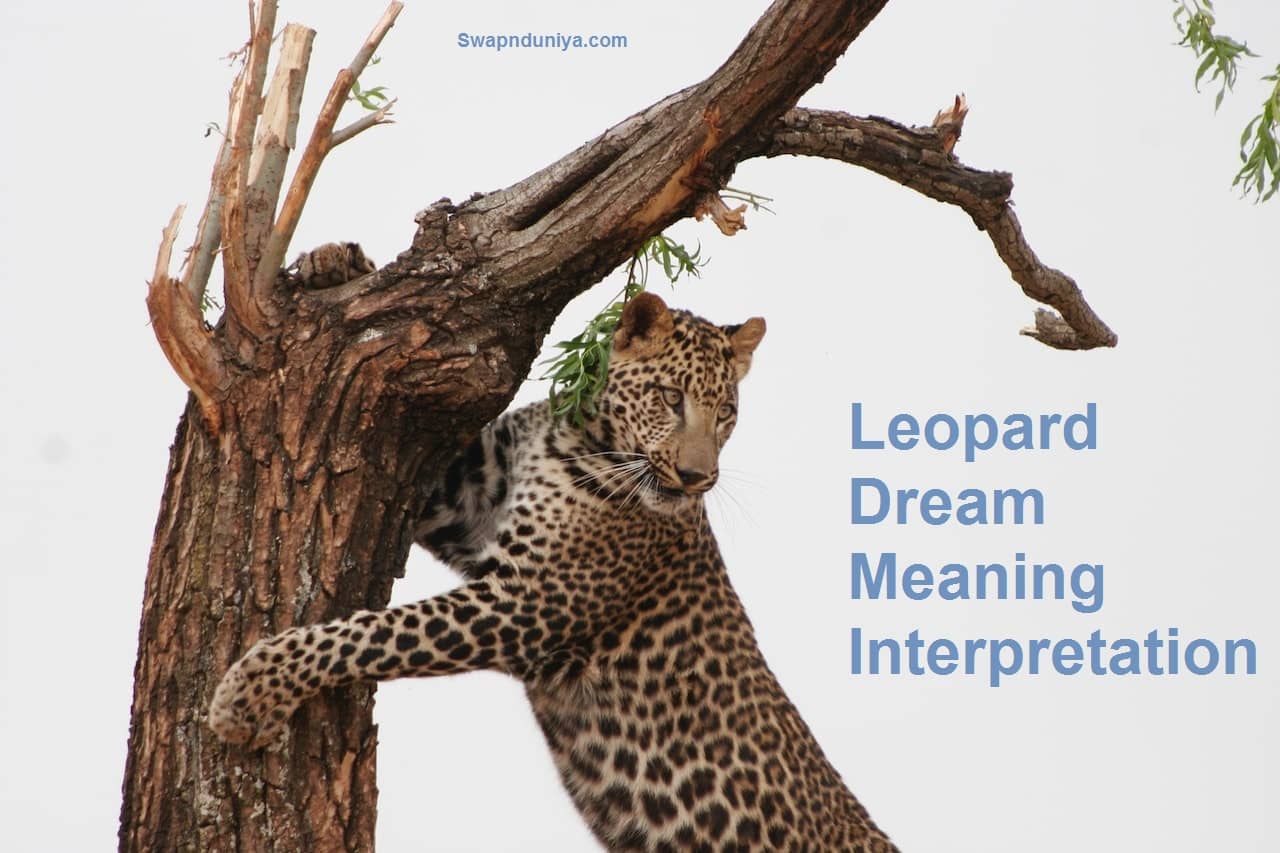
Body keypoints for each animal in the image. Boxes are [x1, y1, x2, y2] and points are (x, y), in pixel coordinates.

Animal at [210, 292, 900, 852]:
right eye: (670, 398)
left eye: (726, 412)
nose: (697, 478)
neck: (578, 440)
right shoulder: (465, 503)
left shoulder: (525, 604)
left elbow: (370, 635)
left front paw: (247, 693)